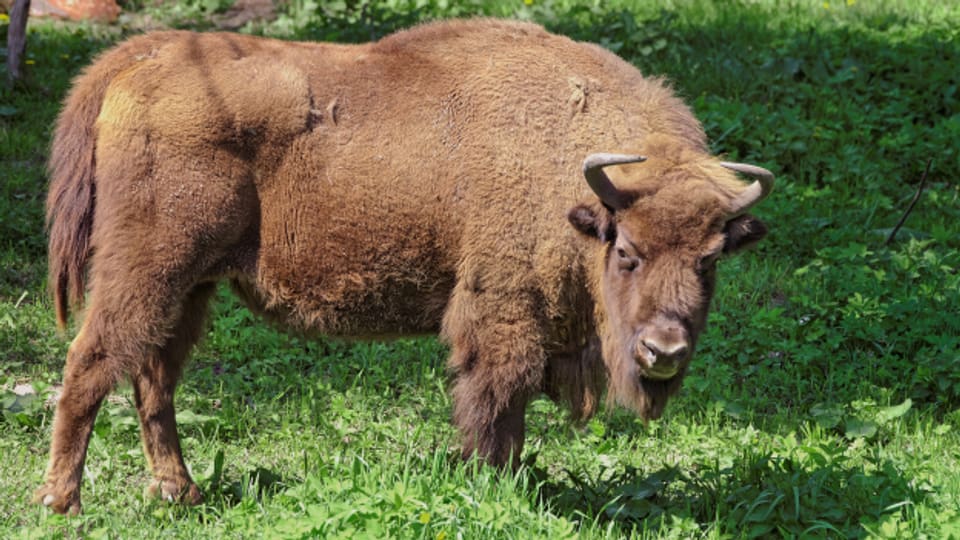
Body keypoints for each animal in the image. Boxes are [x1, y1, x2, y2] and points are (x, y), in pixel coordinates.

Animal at [37, 19, 773, 514]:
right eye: (626, 252)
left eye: (711, 260)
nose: (664, 351)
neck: (573, 178)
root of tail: (147, 53)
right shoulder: (502, 315)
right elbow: (496, 405)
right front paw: (494, 487)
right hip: (147, 270)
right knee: (91, 364)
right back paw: (63, 502)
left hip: (194, 284)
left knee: (154, 377)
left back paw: (179, 492)